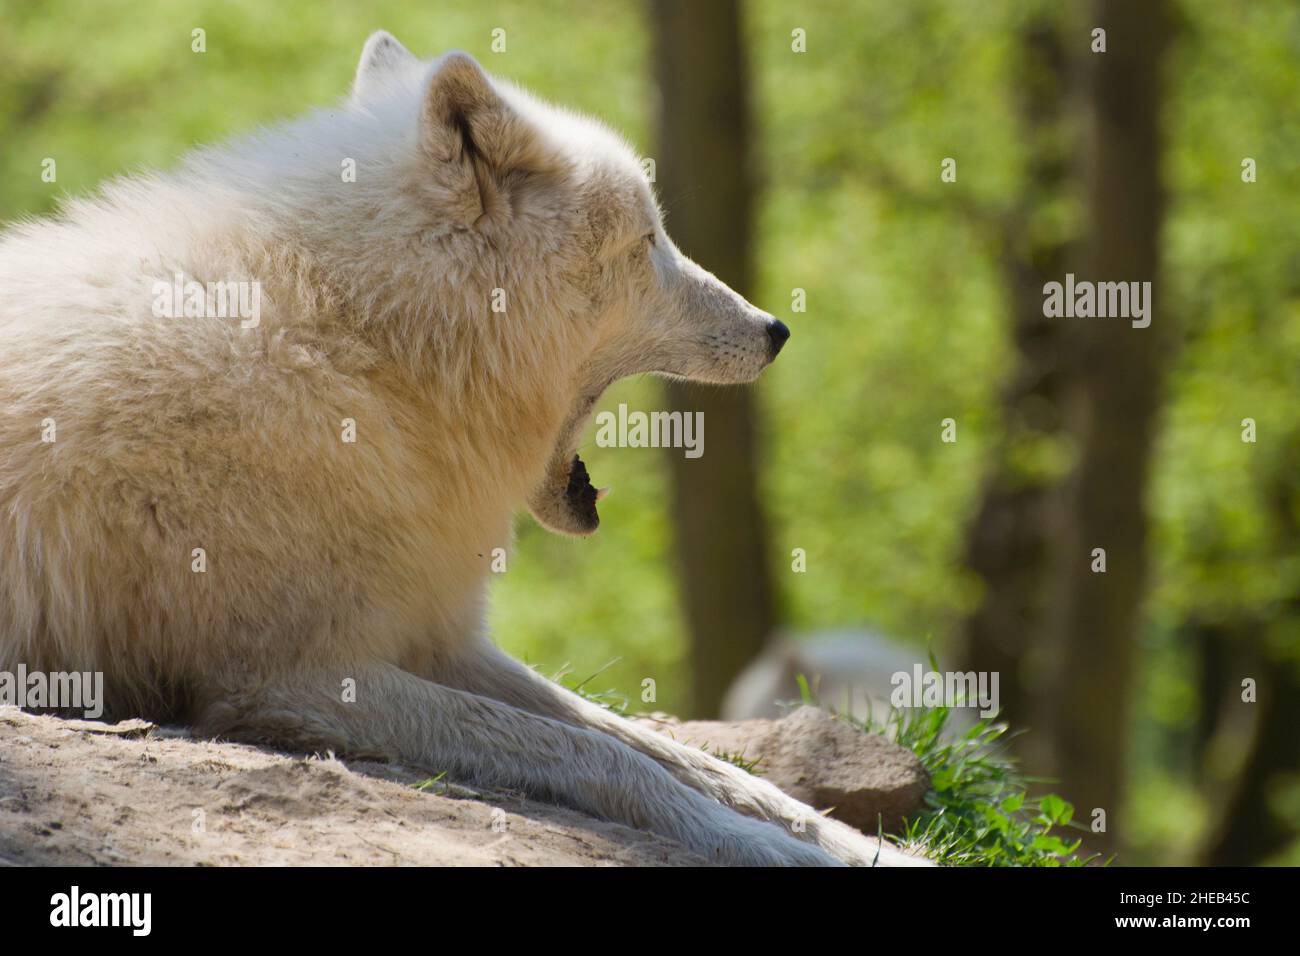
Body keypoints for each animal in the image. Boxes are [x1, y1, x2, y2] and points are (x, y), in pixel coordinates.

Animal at [0, 32, 923, 866]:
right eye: (645, 244)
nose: (777, 330)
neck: (355, 344)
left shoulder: (437, 633)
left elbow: (687, 755)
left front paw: (863, 846)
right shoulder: (286, 676)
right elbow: (607, 755)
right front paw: (767, 849)